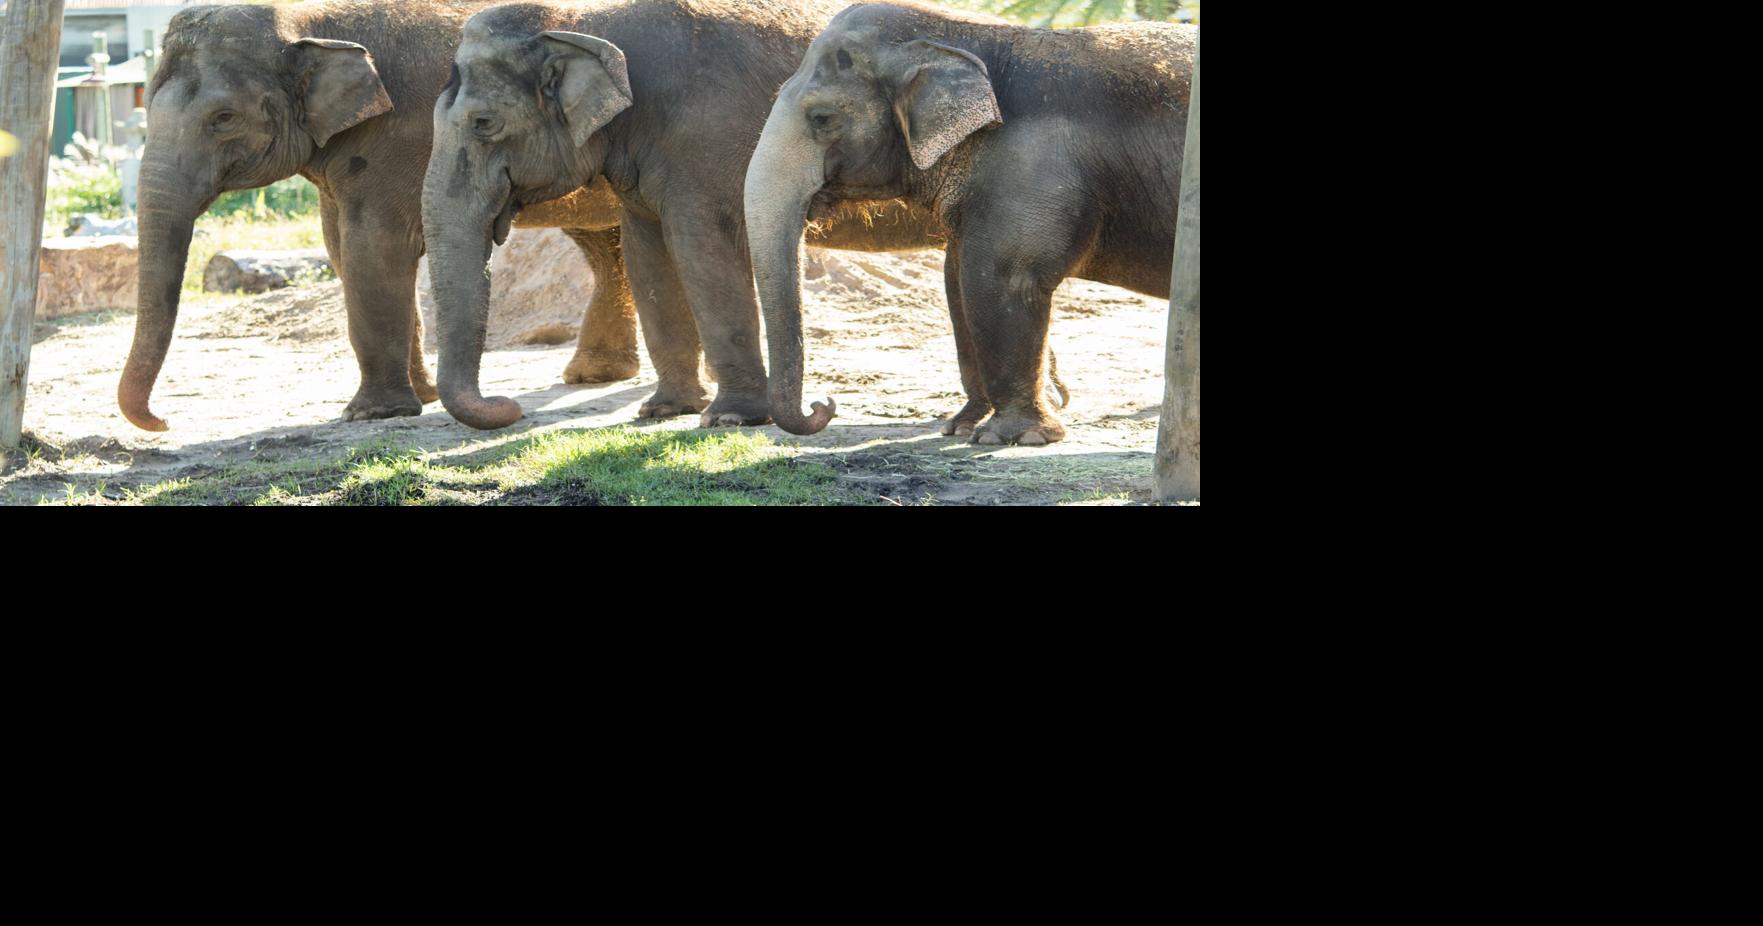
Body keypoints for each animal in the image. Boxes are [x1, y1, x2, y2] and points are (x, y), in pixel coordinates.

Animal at [117, 0, 641, 434]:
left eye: (223, 118)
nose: (164, 422)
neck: (308, 19)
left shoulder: (396, 140)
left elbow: (373, 248)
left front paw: (372, 414)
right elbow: (341, 249)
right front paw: (420, 398)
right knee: (602, 242)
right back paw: (594, 374)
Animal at [422, 0, 975, 431]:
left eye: (483, 123)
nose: (510, 406)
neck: (588, 21)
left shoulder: (706, 140)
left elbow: (703, 252)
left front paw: (730, 418)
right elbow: (648, 258)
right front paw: (664, 410)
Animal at [745, 2, 1195, 445]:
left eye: (821, 118)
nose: (823, 404)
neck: (967, 36)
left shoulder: (1028, 169)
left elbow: (999, 280)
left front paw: (1015, 437)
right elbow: (958, 280)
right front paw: (961, 427)